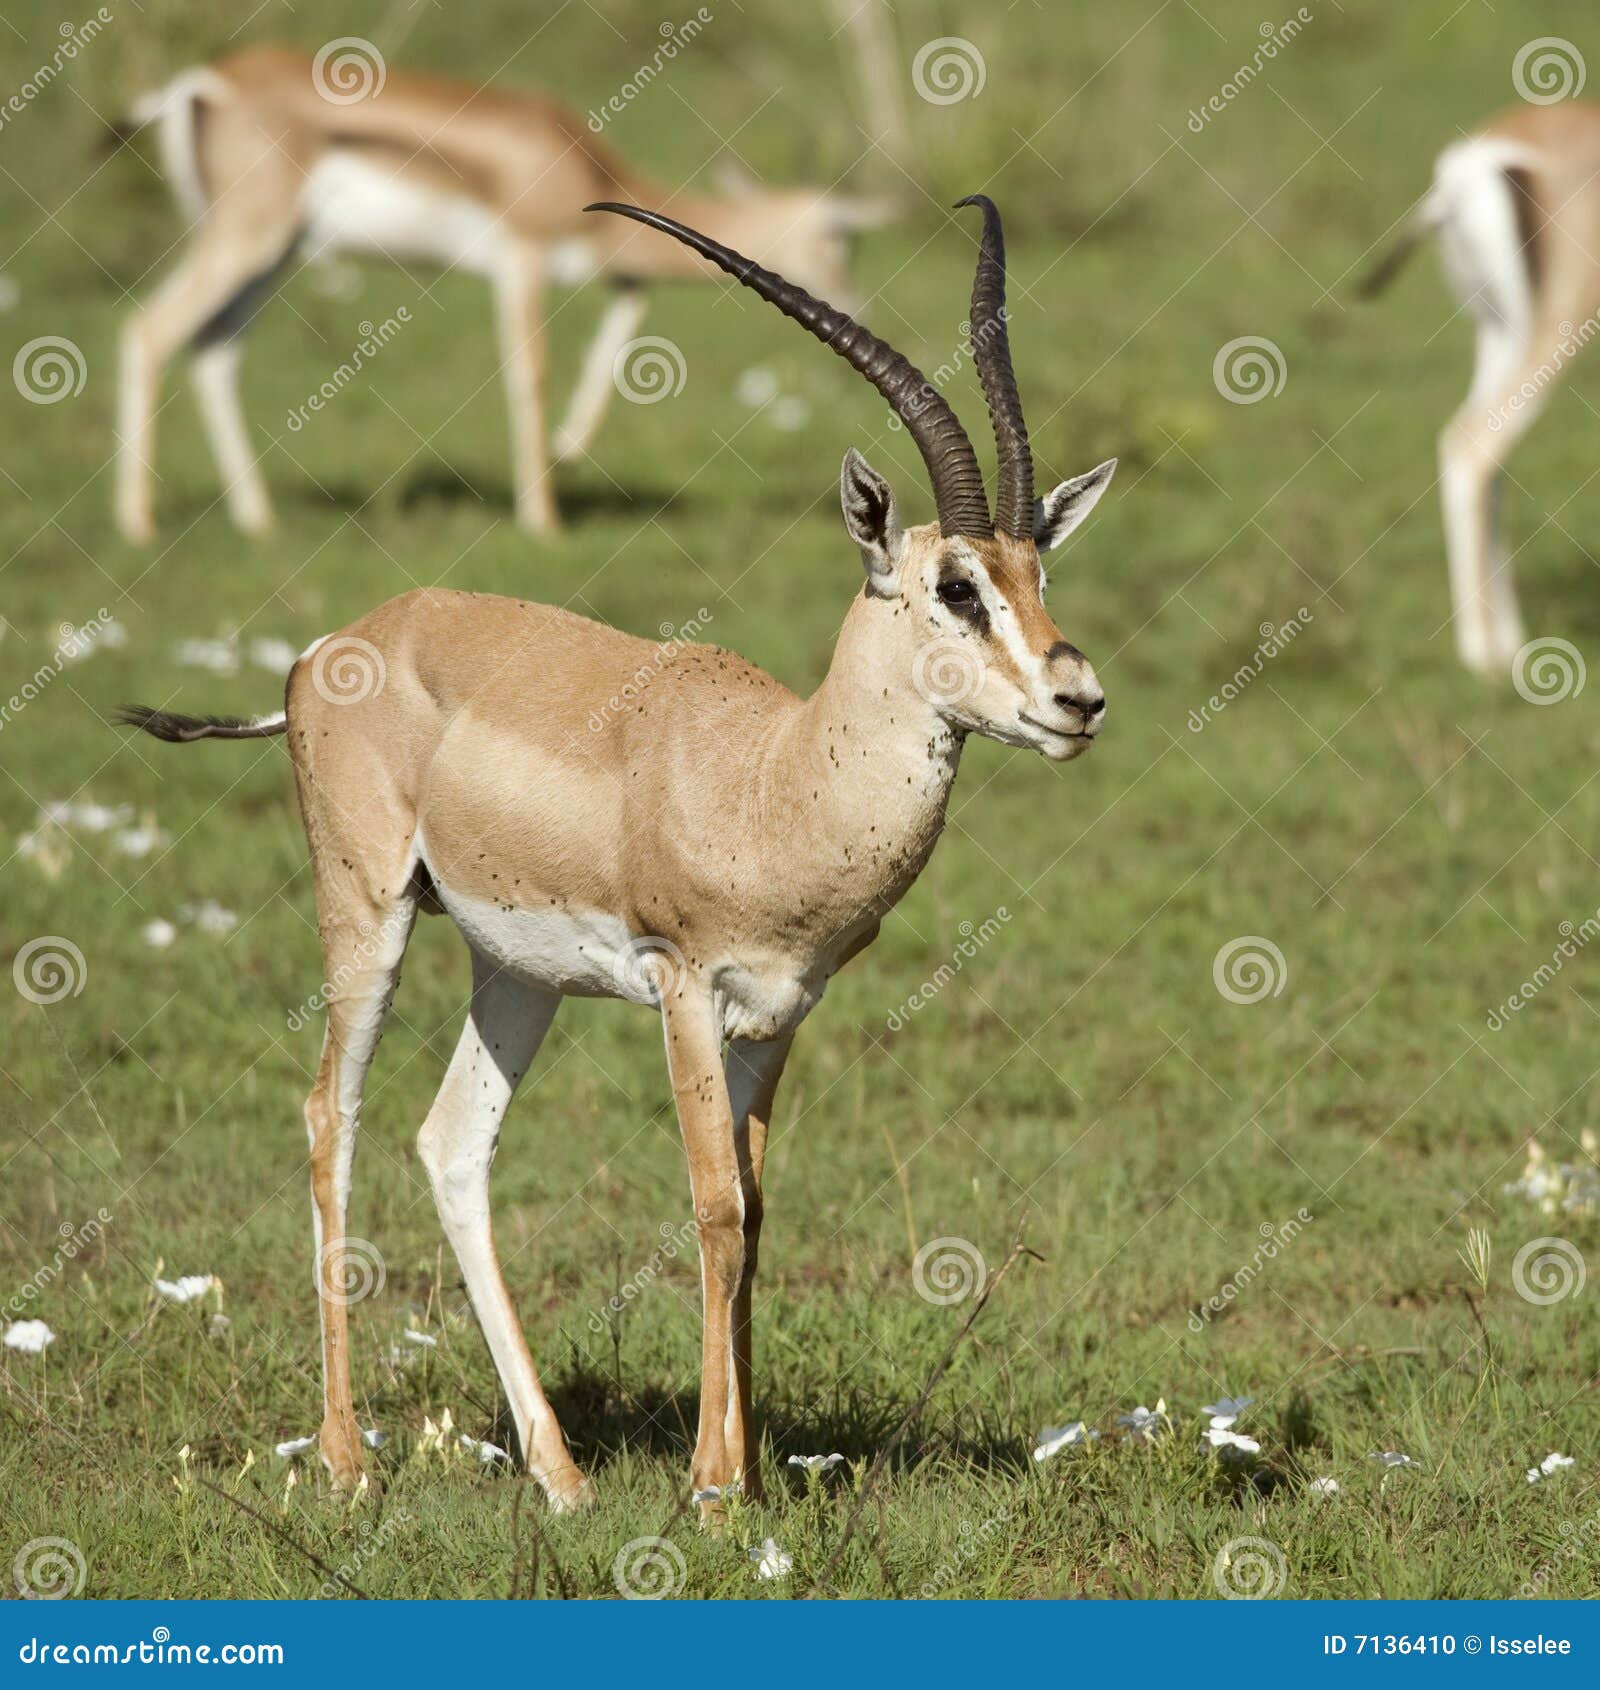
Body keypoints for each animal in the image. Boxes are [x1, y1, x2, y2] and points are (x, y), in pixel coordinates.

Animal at [116, 47, 885, 543]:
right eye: (838, 241)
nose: (860, 308)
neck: (581, 164)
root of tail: (204, 82)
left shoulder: (607, 267)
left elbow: (626, 315)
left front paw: (567, 449)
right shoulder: (522, 260)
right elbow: (531, 372)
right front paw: (543, 521)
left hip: (273, 254)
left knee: (214, 351)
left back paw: (258, 521)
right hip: (248, 239)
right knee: (147, 331)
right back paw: (138, 525)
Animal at [118, 197, 1117, 1512]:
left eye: (1036, 573)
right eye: (956, 585)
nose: (1078, 698)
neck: (774, 777)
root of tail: (332, 645)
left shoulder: (781, 1012)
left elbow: (757, 1206)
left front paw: (743, 1470)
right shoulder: (684, 987)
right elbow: (712, 1206)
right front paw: (711, 1486)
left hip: (515, 974)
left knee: (451, 1144)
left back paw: (560, 1475)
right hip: (367, 916)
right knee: (330, 1110)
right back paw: (344, 1461)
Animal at [1361, 102, 1600, 674]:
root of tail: (1467, 167)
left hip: (1502, 331)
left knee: (1477, 451)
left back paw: (1508, 641)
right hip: (1558, 326)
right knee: (1474, 446)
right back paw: (1482, 656)